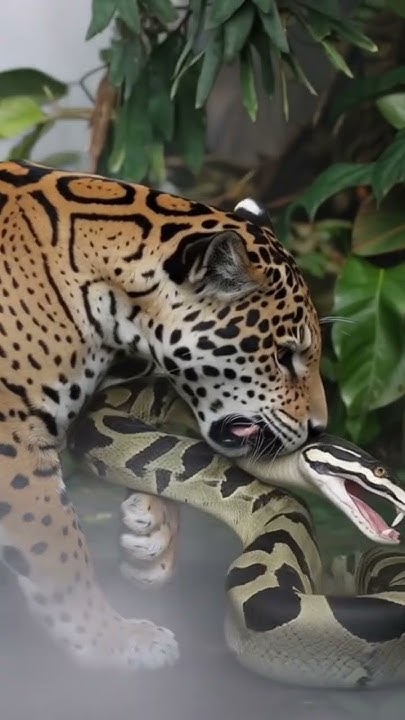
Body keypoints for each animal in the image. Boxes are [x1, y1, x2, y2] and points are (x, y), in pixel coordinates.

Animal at [0, 160, 327, 671]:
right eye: (284, 355)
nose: (320, 427)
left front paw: (154, 536)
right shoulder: (14, 442)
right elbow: (59, 550)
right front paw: (110, 639)